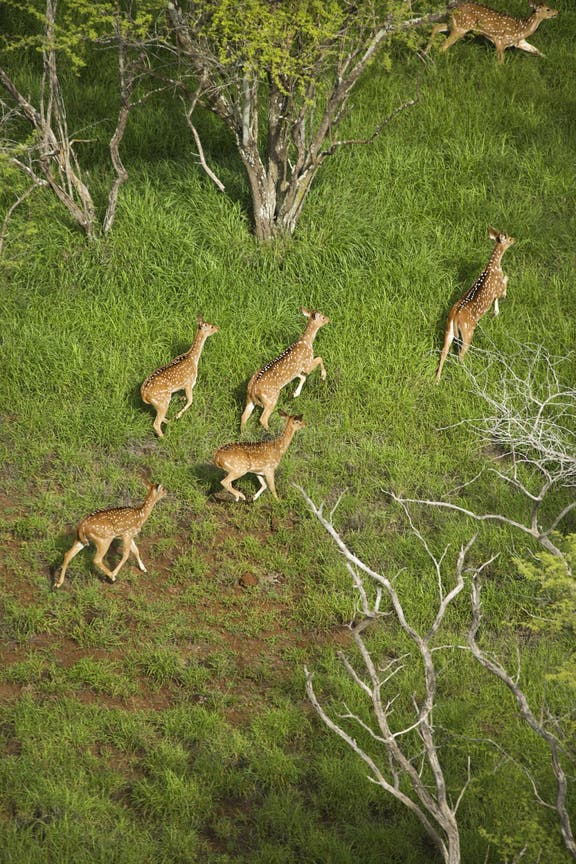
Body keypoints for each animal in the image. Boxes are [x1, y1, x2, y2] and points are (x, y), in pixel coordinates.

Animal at [426, 2, 558, 64]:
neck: (521, 29)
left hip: (454, 25)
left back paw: (425, 51)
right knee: (443, 45)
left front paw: (550, 60)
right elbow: (501, 59)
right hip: (461, 28)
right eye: (548, 9)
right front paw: (500, 72)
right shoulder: (500, 39)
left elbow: (536, 50)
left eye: (550, 6)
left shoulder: (520, 42)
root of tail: (452, 7)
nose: (557, 12)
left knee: (436, 26)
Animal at [435, 228, 515, 383]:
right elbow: (505, 282)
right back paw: (466, 374)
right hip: (468, 331)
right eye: (508, 238)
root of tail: (455, 315)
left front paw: (495, 312)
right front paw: (497, 308)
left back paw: (437, 380)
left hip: (449, 330)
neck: (493, 267)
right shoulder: (498, 287)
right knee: (460, 355)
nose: (515, 239)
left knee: (443, 352)